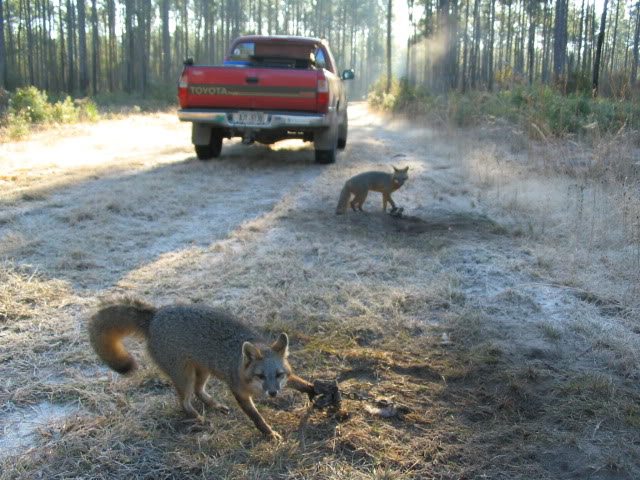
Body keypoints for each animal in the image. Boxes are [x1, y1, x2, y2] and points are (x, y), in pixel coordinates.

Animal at [88, 297, 315, 441]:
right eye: (260, 376)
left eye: (278, 375)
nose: (273, 393)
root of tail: (155, 315)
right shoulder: (239, 392)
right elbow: (256, 417)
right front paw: (269, 433)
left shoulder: (286, 379)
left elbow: (300, 382)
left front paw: (314, 390)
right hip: (185, 376)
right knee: (185, 402)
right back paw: (198, 418)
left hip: (203, 371)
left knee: (198, 392)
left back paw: (215, 405)